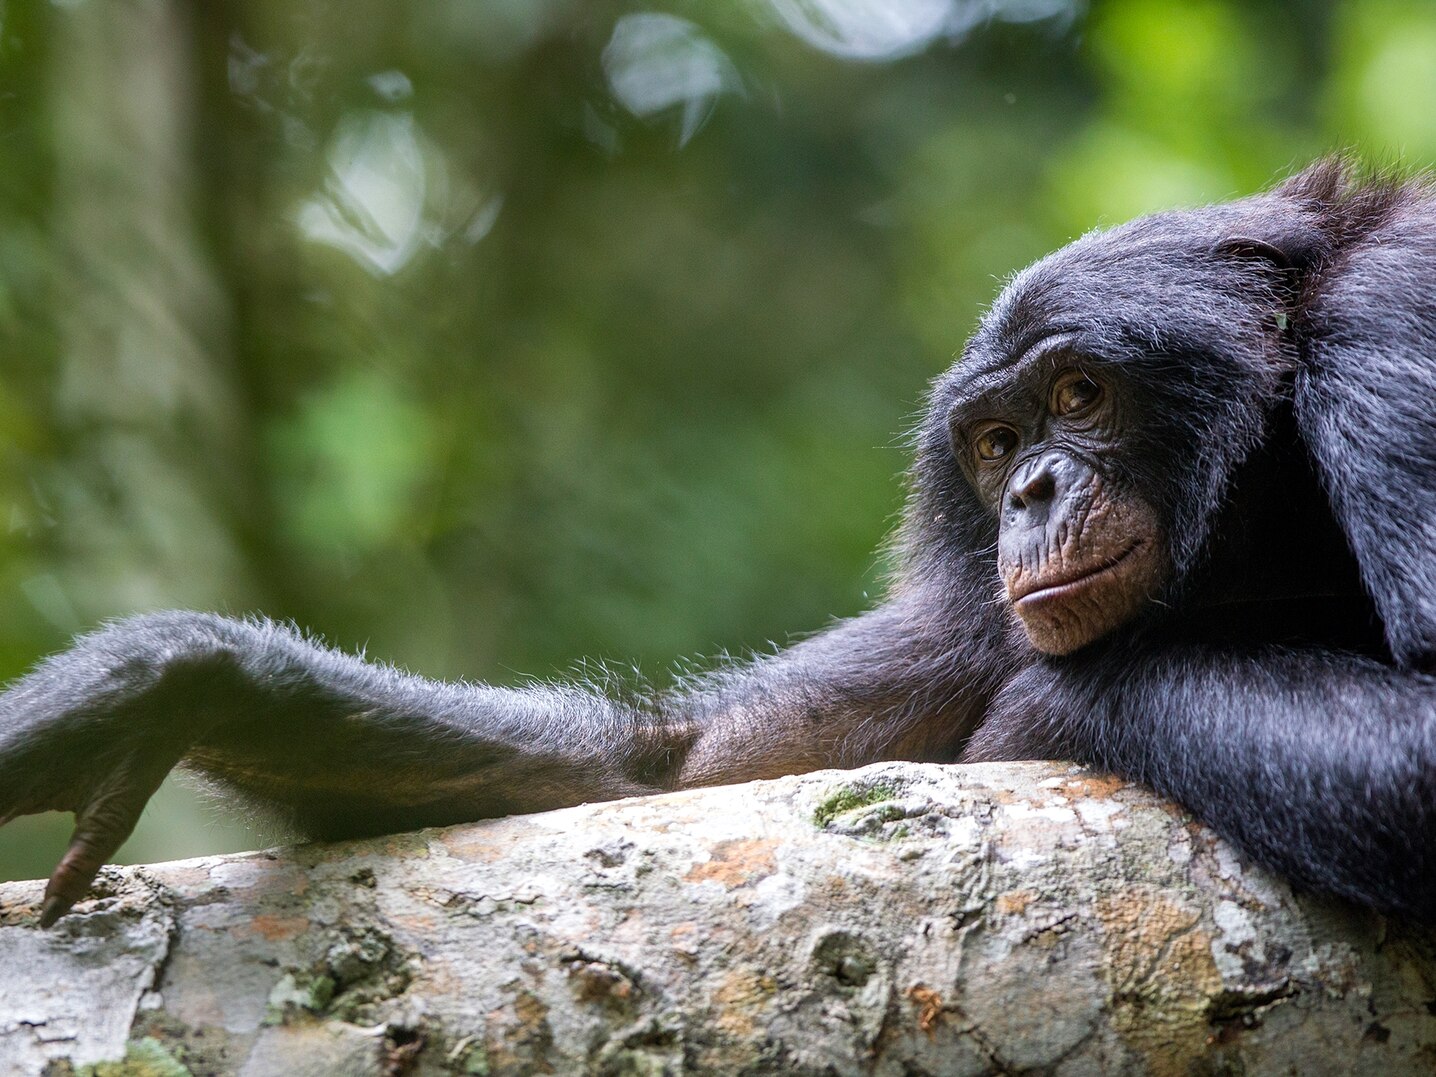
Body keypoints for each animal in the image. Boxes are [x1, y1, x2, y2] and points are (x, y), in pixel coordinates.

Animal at [0, 158, 1431, 928]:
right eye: (989, 441)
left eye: (1080, 395)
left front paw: (1041, 712)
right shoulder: (968, 609)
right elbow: (684, 768)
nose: (1028, 488)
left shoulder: (1388, 342)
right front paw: (159, 683)